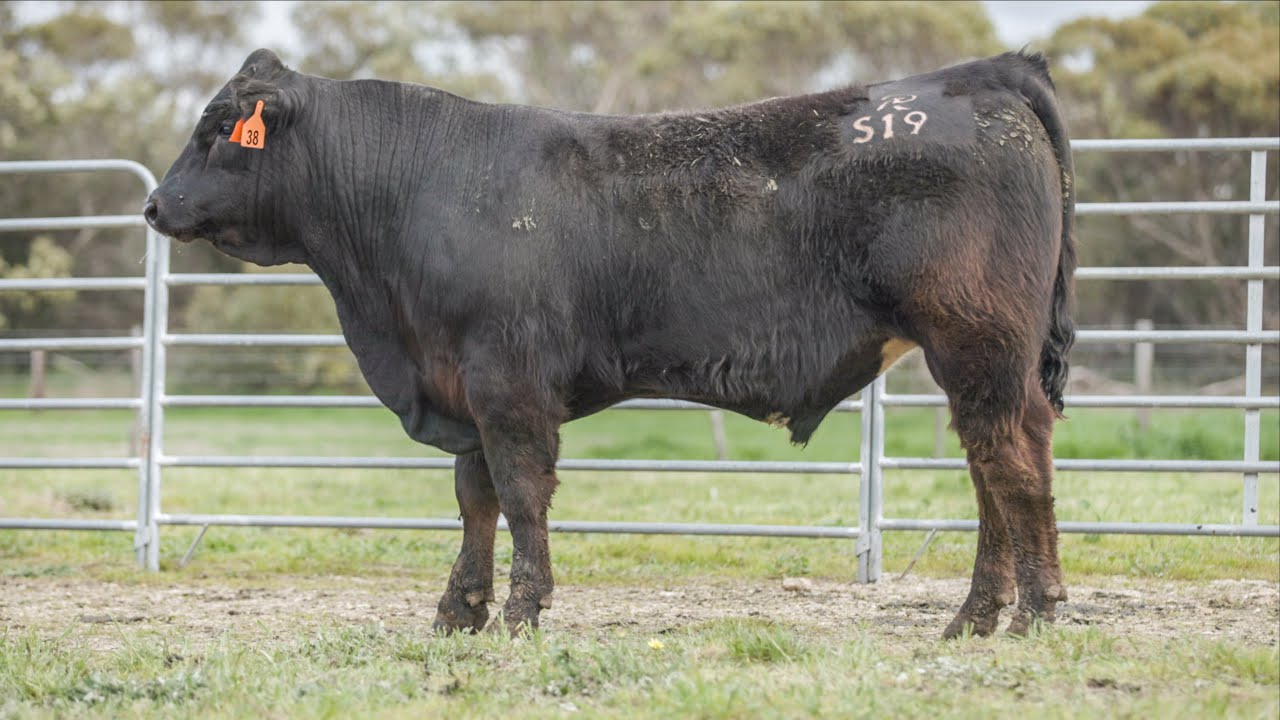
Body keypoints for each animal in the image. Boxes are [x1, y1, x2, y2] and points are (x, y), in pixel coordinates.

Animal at [145, 48, 1075, 639]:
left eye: (221, 126)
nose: (155, 205)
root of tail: (977, 75)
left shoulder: (506, 380)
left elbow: (521, 493)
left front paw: (521, 612)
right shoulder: (461, 383)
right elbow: (474, 498)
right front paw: (459, 611)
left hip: (979, 341)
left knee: (1013, 461)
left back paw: (1033, 613)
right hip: (977, 357)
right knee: (990, 468)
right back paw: (975, 618)